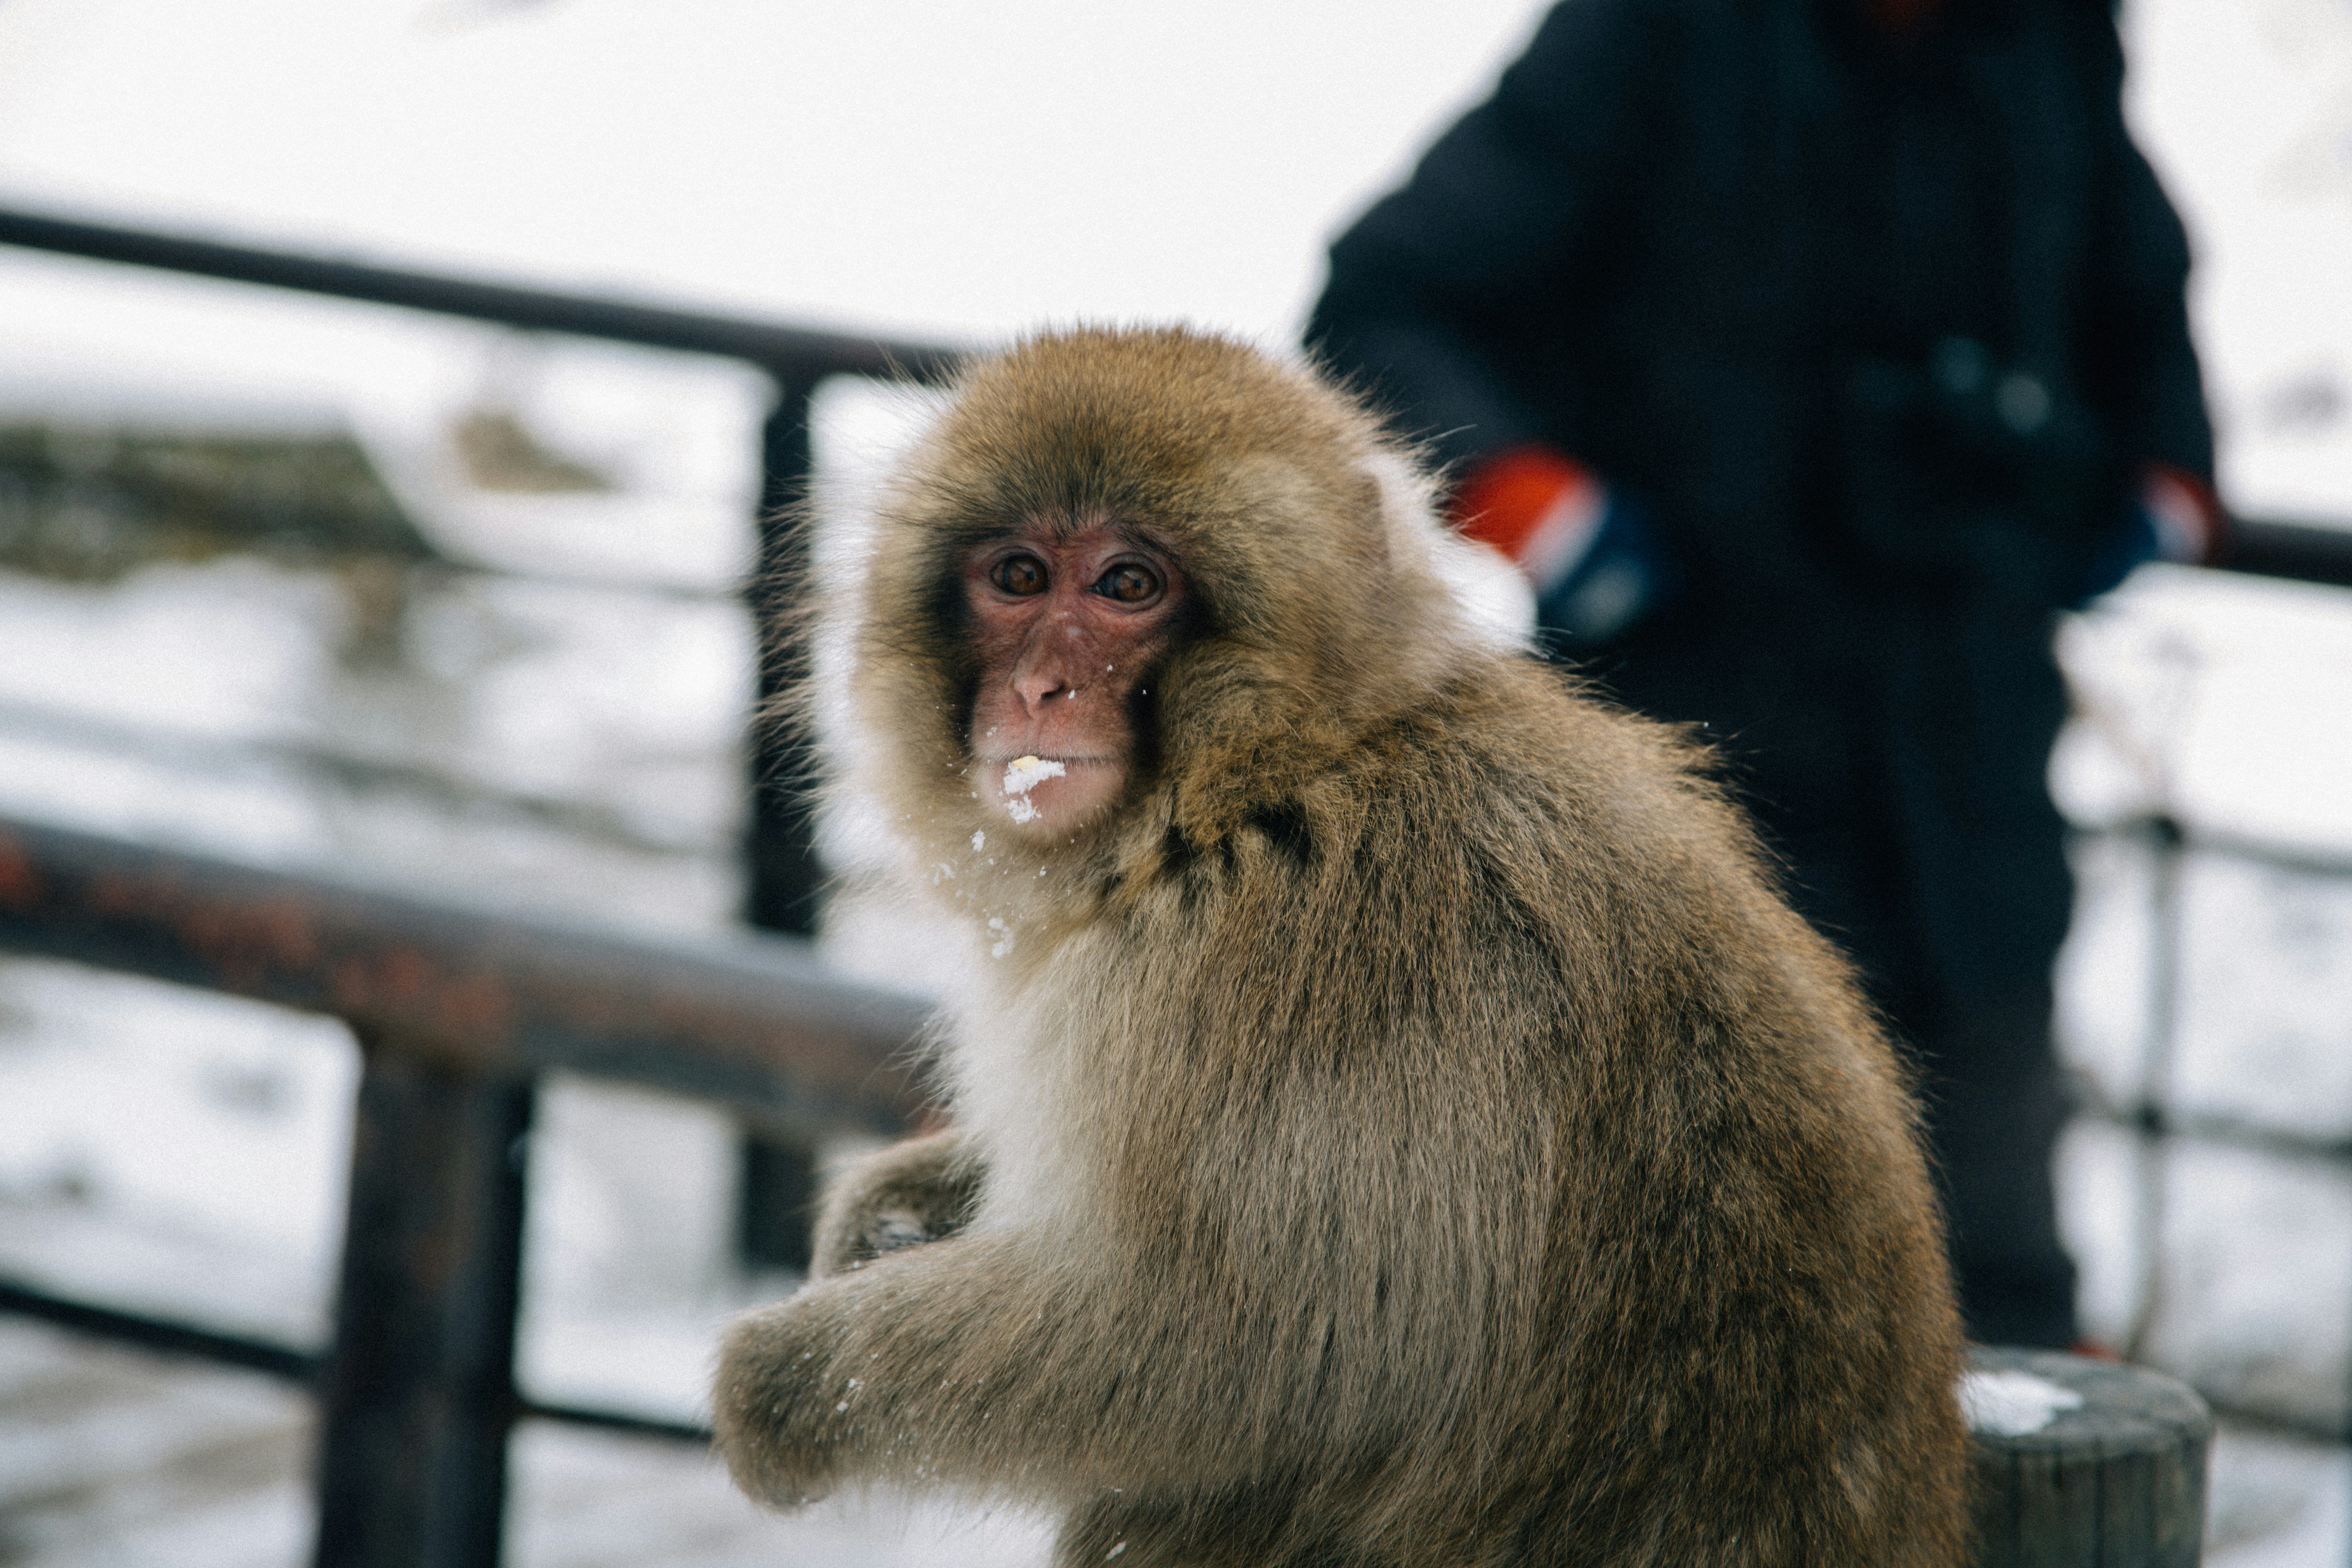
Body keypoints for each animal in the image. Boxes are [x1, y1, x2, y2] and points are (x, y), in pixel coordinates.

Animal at [713, 325, 1970, 1567]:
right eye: (1018, 577)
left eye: (1128, 586)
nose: (1039, 686)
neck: (1275, 777)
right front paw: (884, 1209)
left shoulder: (1293, 962)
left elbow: (1240, 1341)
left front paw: (783, 1389)